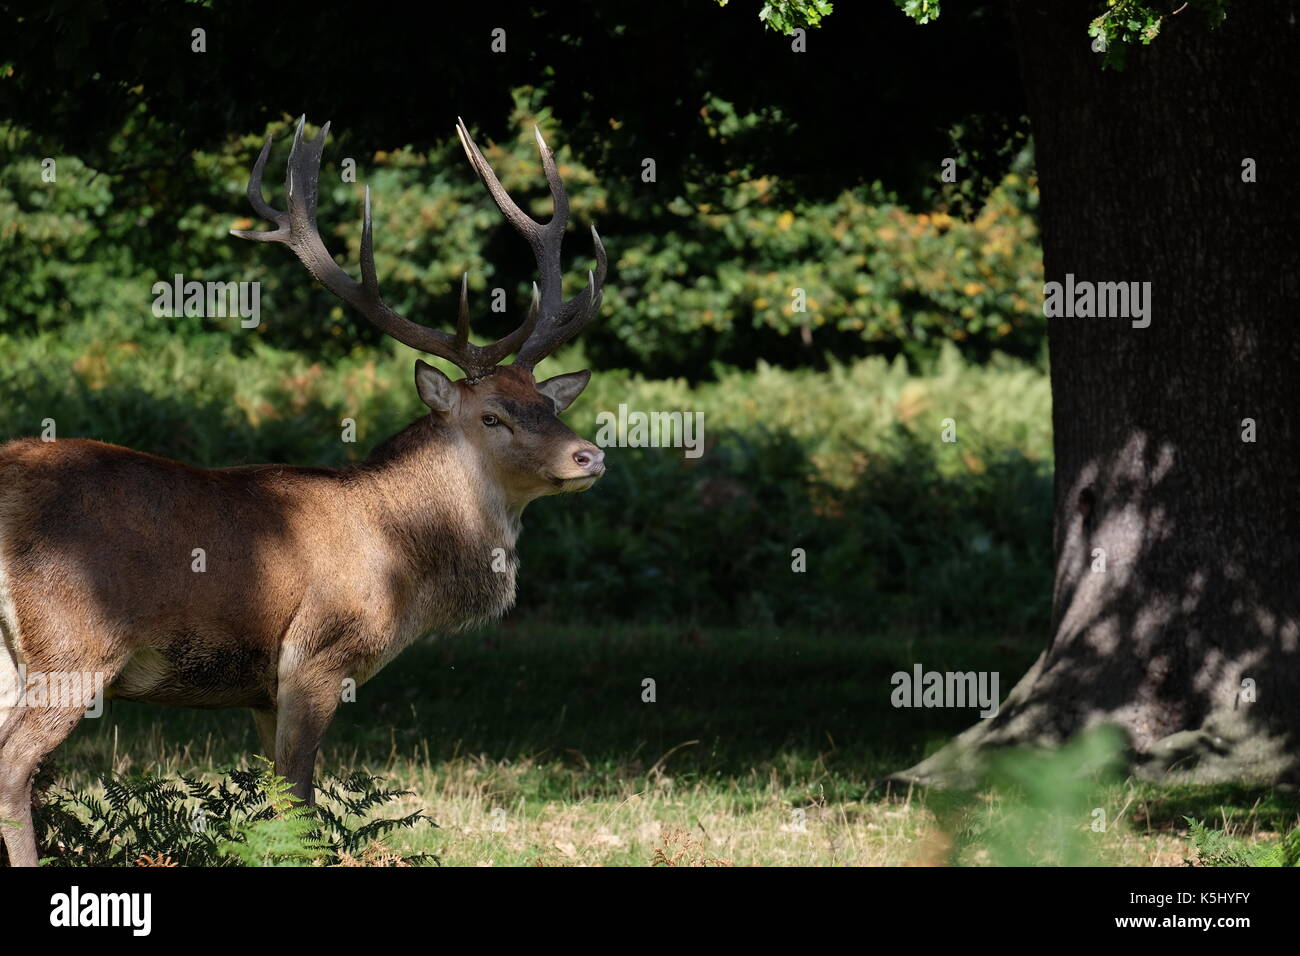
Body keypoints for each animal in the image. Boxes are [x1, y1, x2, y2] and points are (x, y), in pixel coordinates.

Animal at [0, 116, 608, 866]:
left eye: (547, 405)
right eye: (492, 416)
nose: (589, 454)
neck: (401, 562)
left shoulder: (261, 692)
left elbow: (276, 803)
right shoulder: (317, 656)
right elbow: (300, 803)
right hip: (72, 641)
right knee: (14, 767)